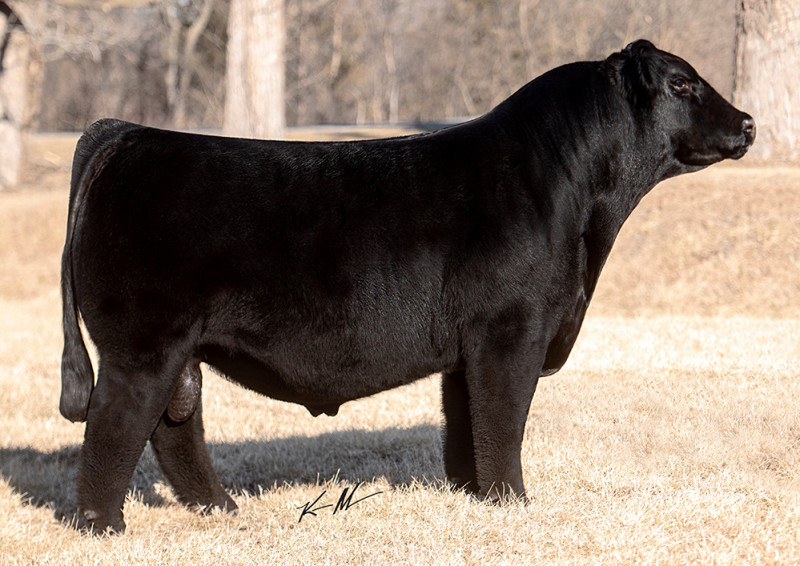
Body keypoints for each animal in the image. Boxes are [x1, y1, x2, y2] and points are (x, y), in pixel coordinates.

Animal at [59, 40, 755, 533]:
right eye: (681, 83)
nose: (748, 123)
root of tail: (130, 134)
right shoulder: (511, 331)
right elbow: (504, 419)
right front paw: (515, 502)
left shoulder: (469, 348)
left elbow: (466, 424)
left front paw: (477, 497)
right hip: (142, 347)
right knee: (114, 425)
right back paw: (105, 527)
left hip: (176, 351)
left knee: (175, 427)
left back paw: (221, 510)